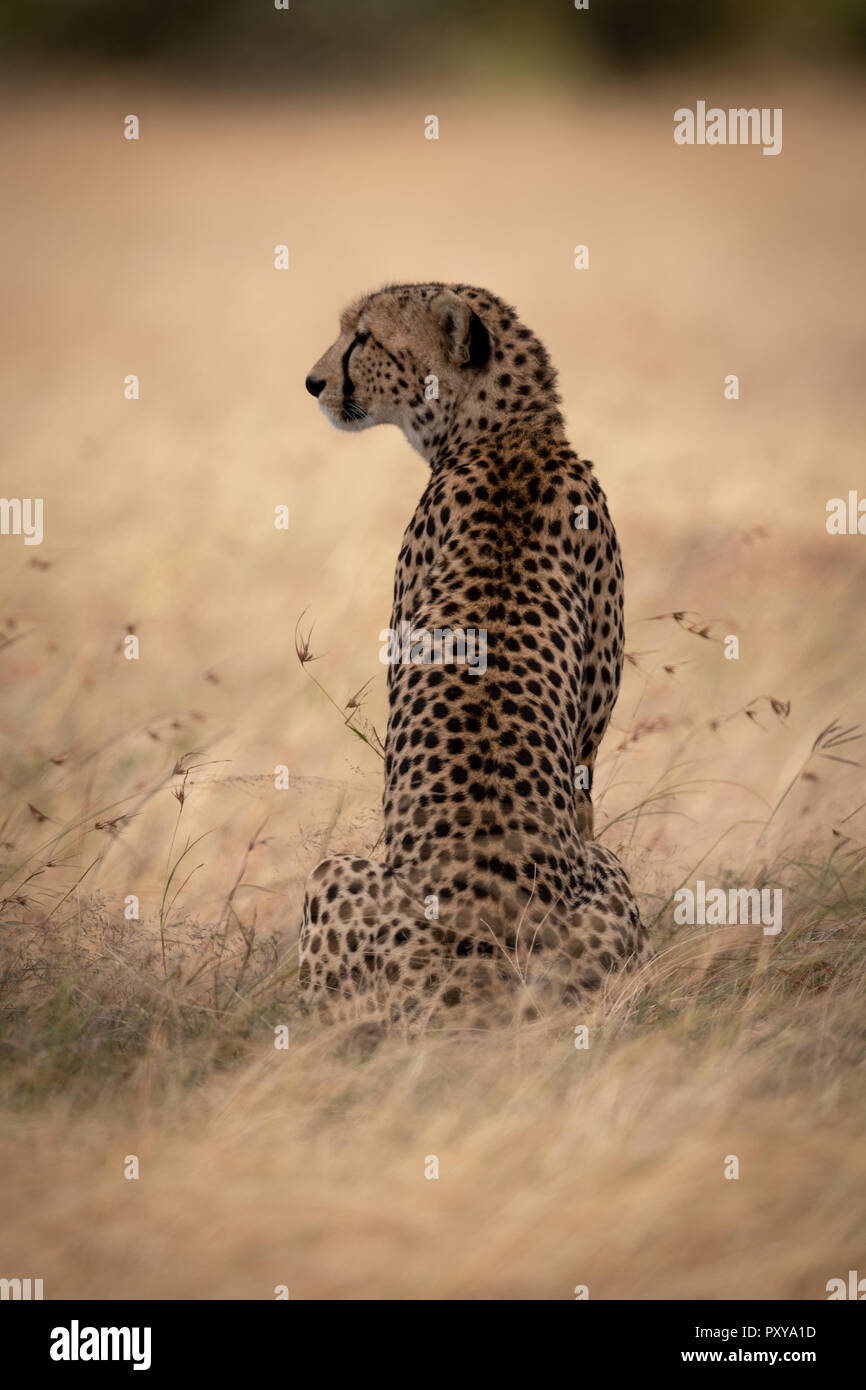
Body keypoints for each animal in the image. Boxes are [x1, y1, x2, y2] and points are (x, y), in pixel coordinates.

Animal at [298, 282, 647, 1028]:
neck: (510, 430)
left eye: (364, 337)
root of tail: (481, 969)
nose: (312, 382)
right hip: (609, 879)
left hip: (331, 873)